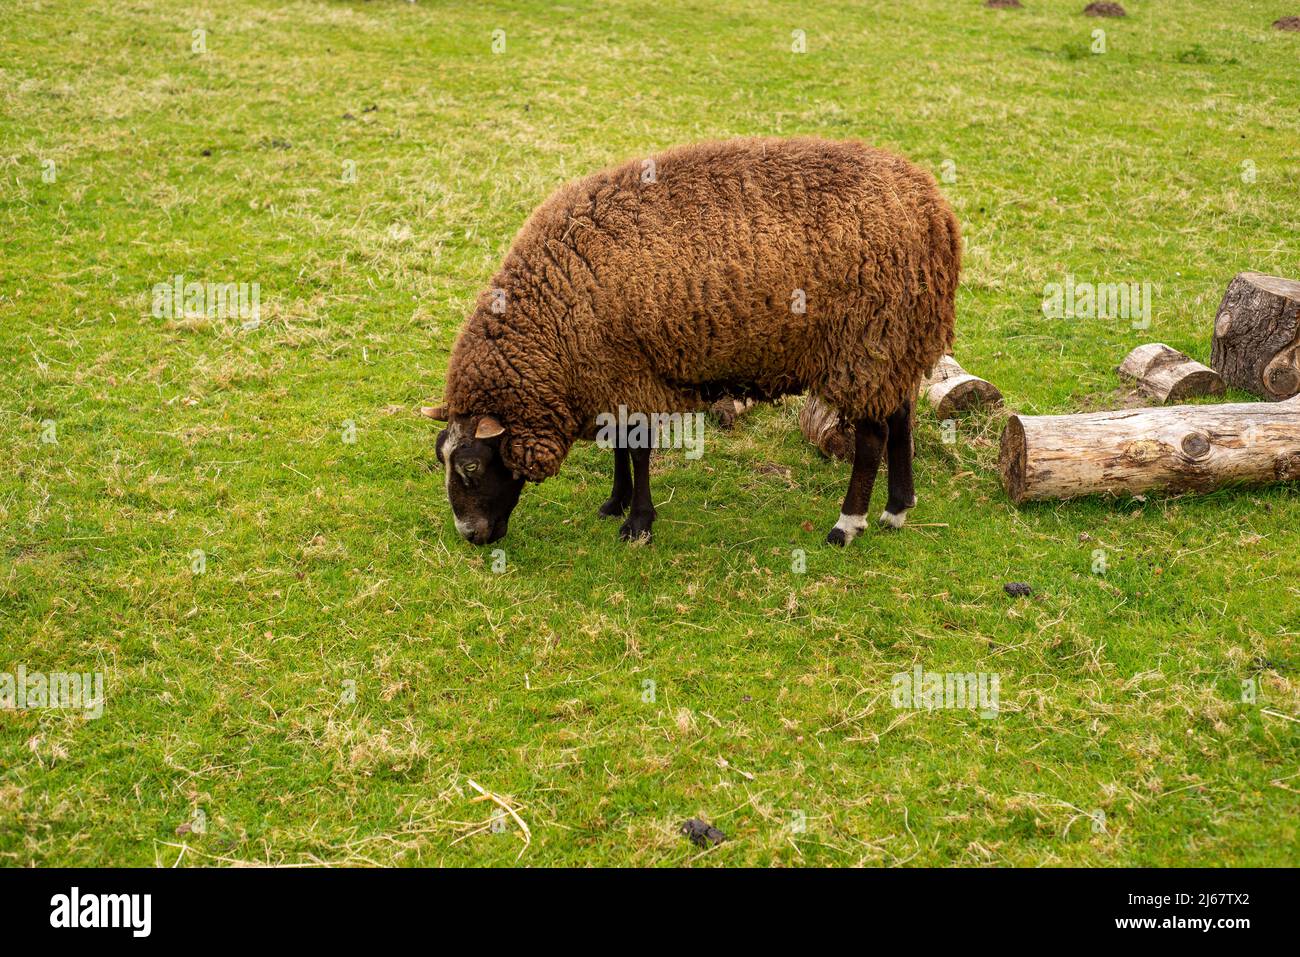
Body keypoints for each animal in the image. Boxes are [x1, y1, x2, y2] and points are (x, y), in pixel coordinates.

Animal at [422, 136, 960, 546]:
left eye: (470, 466)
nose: (471, 537)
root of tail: (932, 206)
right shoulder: (610, 373)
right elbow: (620, 445)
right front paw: (615, 502)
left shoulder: (630, 370)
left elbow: (637, 447)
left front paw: (638, 523)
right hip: (897, 338)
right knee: (900, 415)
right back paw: (898, 508)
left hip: (866, 339)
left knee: (871, 438)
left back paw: (847, 525)